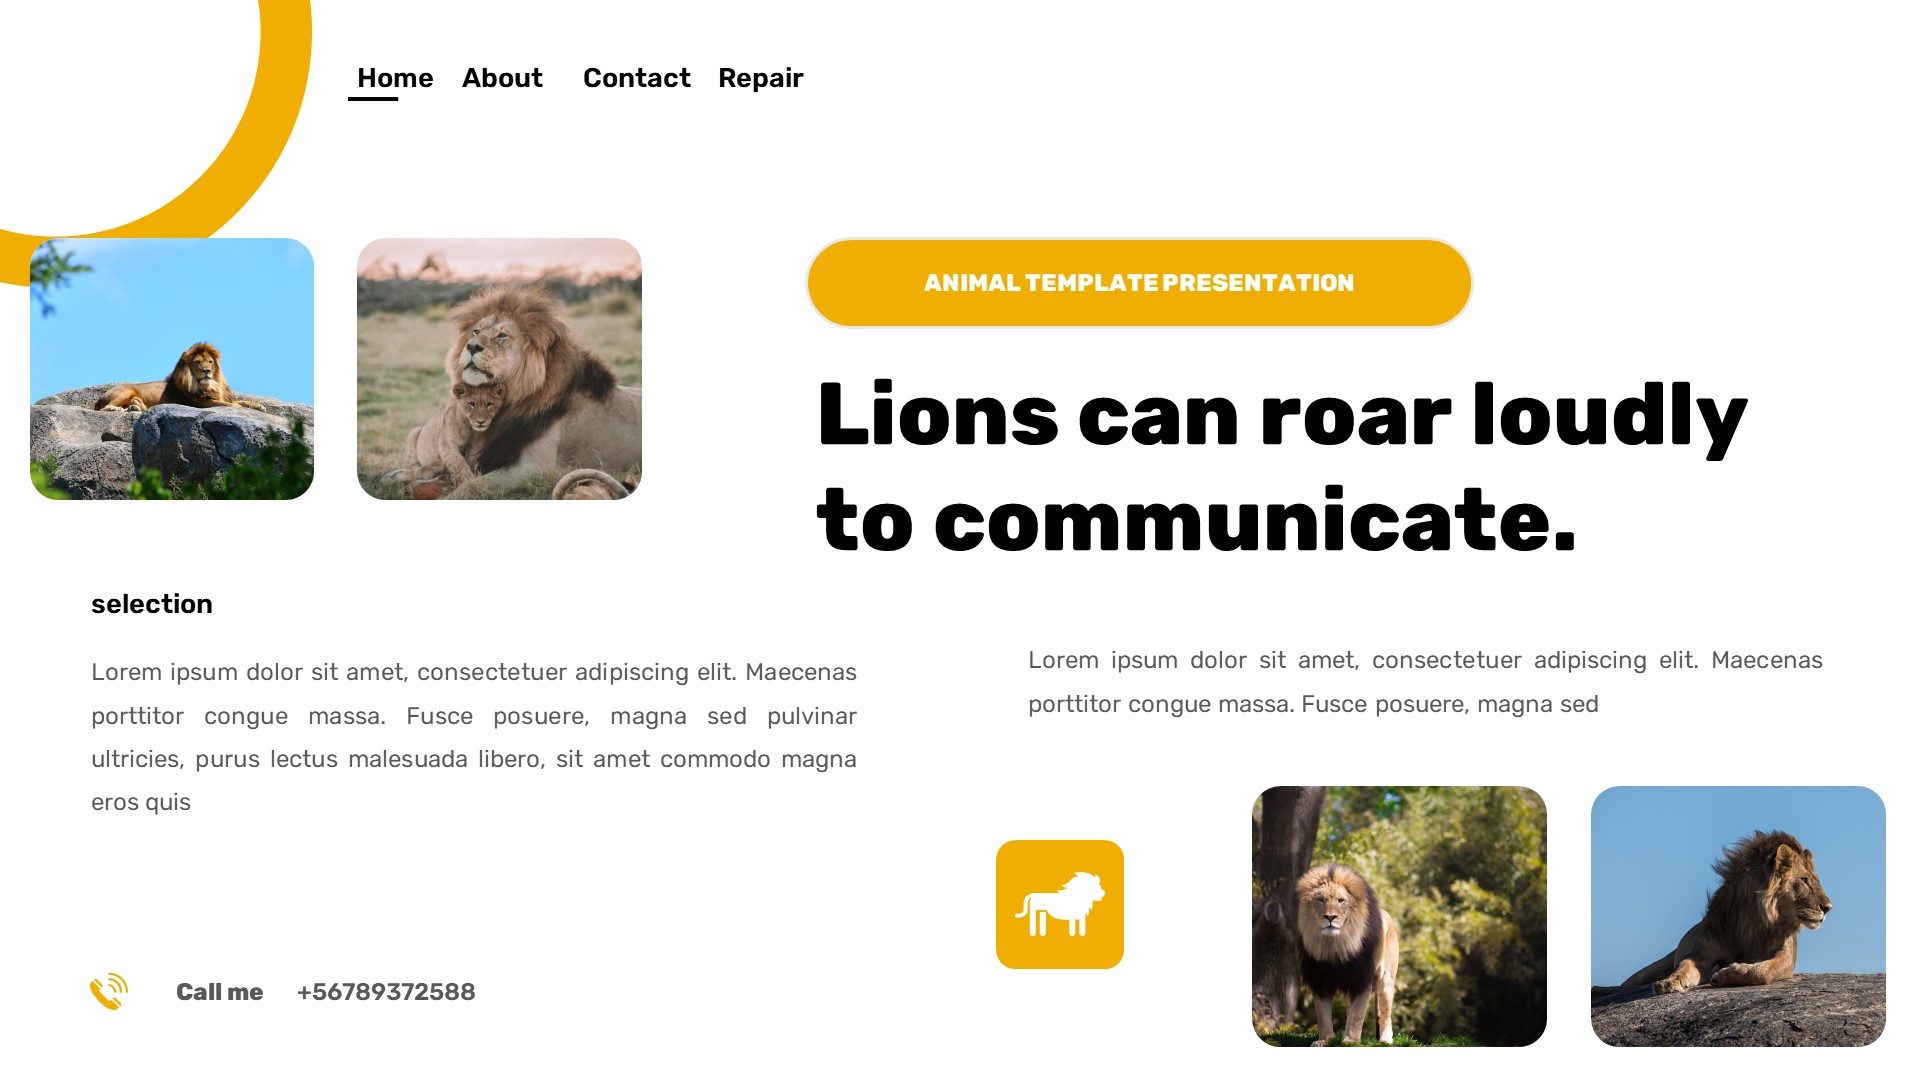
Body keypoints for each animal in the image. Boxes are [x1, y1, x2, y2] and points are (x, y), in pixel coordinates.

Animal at [93, 343, 265, 412]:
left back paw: (135, 407)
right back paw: (118, 409)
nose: (207, 371)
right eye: (198, 362)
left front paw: (259, 406)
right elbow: (232, 405)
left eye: (210, 362)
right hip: (125, 391)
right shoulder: (202, 403)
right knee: (105, 408)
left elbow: (240, 401)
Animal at [437, 283, 642, 497]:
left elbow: (472, 485)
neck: (512, 401)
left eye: (502, 335)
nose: (471, 346)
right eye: (476, 331)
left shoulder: (535, 468)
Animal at [1296, 863, 1399, 1046]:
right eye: (1320, 900)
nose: (1330, 917)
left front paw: (1350, 1041)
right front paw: (1325, 1040)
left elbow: (1357, 1014)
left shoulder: (1362, 977)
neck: (1335, 945)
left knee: (1385, 1012)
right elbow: (1322, 1014)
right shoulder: (1319, 979)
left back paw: (1385, 1040)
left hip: (1386, 979)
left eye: (1341, 900)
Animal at [1592, 830, 1831, 1000]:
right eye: (1804, 880)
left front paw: (1726, 975)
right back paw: (1599, 989)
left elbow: (1763, 972)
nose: (1828, 907)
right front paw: (1669, 982)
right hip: (1650, 969)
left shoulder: (1787, 956)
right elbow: (1684, 966)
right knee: (1624, 985)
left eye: (1816, 880)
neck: (1754, 921)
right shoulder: (1704, 953)